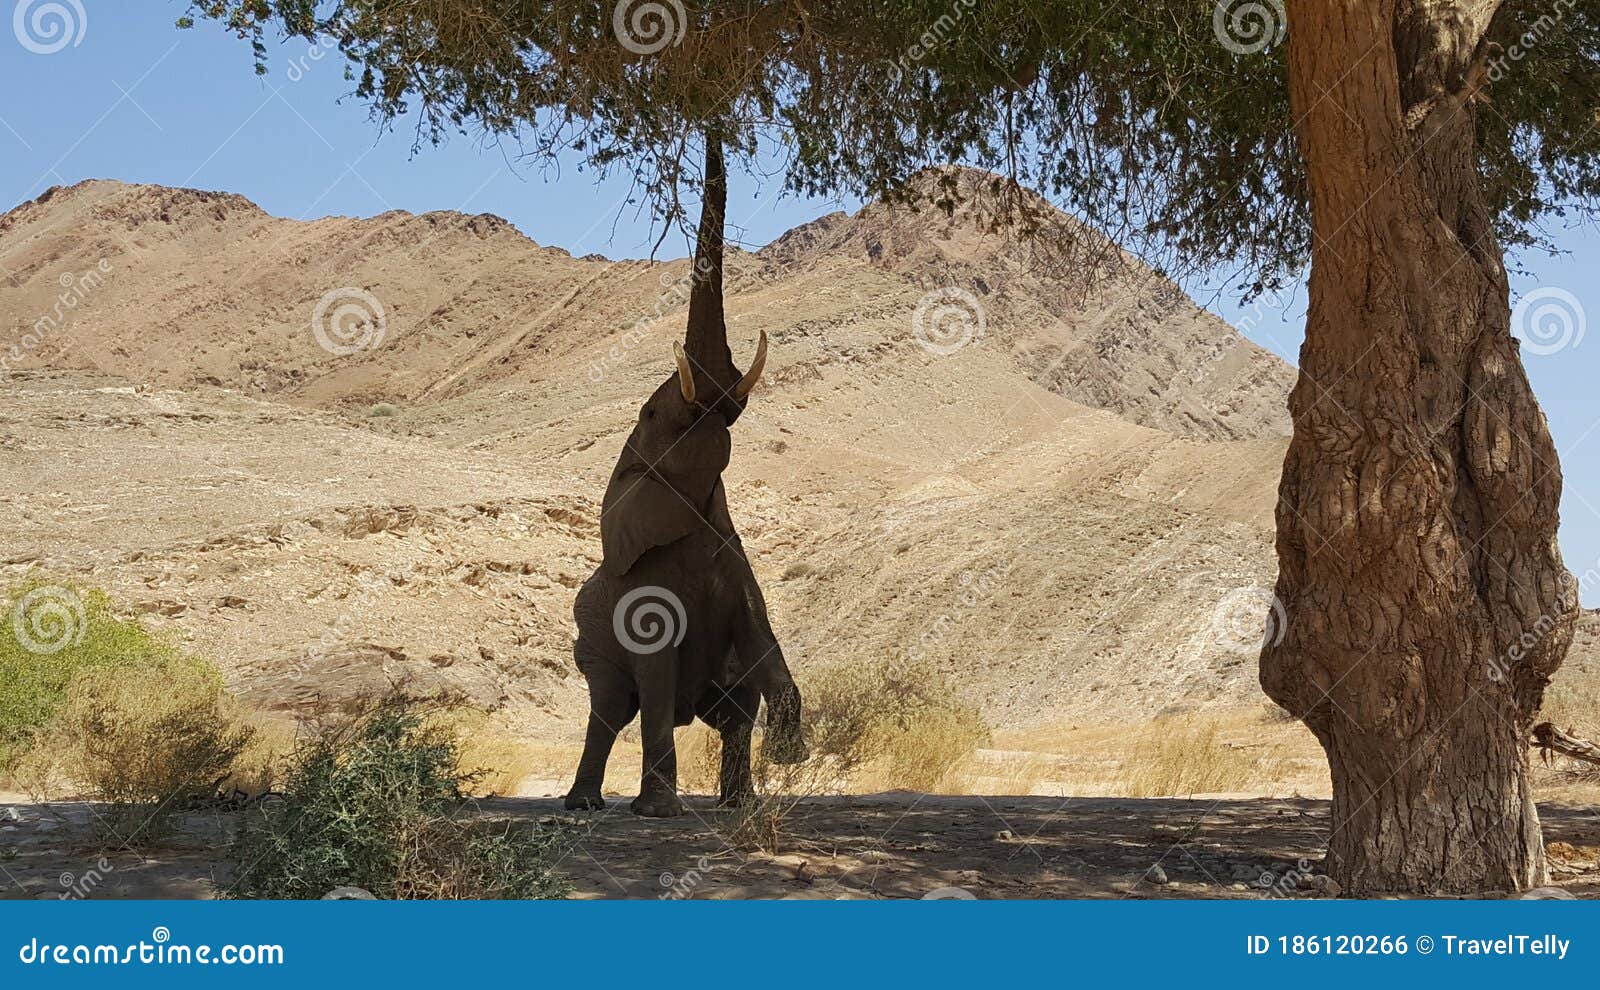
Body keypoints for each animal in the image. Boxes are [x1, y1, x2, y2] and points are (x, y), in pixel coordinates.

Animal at [564, 134, 806, 818]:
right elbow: (655, 672)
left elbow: (764, 645)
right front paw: (656, 814)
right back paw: (583, 807)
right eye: (651, 414)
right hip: (592, 644)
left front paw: (792, 752)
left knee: (733, 713)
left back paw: (738, 805)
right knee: (610, 710)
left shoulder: (735, 557)